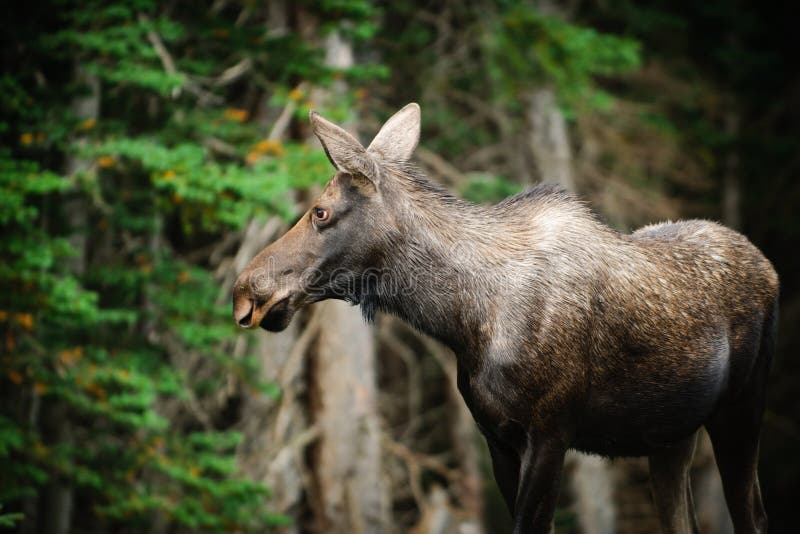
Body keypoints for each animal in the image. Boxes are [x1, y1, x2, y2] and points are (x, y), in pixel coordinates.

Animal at [232, 103, 778, 533]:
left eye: (320, 212)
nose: (246, 291)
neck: (461, 321)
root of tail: (769, 268)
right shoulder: (496, 439)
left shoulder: (550, 433)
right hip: (671, 437)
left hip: (740, 410)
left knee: (752, 515)